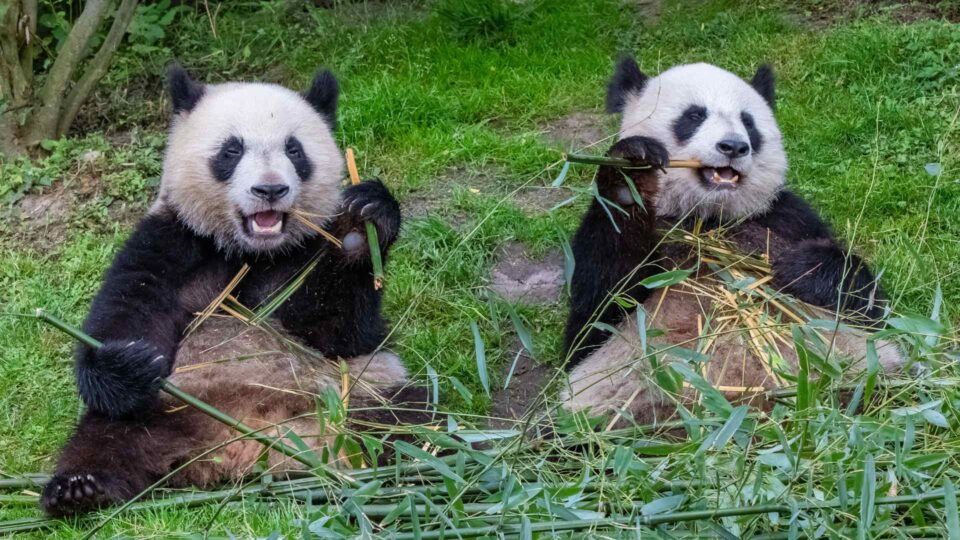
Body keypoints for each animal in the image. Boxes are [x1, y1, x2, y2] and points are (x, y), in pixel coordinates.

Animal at [41, 66, 425, 516]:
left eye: (294, 150)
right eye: (231, 150)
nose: (270, 190)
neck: (249, 251)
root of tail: (244, 447)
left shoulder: (306, 253)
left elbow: (340, 331)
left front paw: (363, 225)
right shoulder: (169, 243)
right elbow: (123, 314)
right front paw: (130, 362)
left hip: (359, 393)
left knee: (409, 419)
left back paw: (418, 465)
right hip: (165, 405)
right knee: (107, 435)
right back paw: (80, 489)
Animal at [561, 58, 905, 423]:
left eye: (748, 122)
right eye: (694, 116)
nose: (734, 146)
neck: (709, 217)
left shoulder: (785, 217)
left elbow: (867, 304)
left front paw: (798, 267)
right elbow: (597, 309)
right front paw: (631, 173)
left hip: (869, 376)